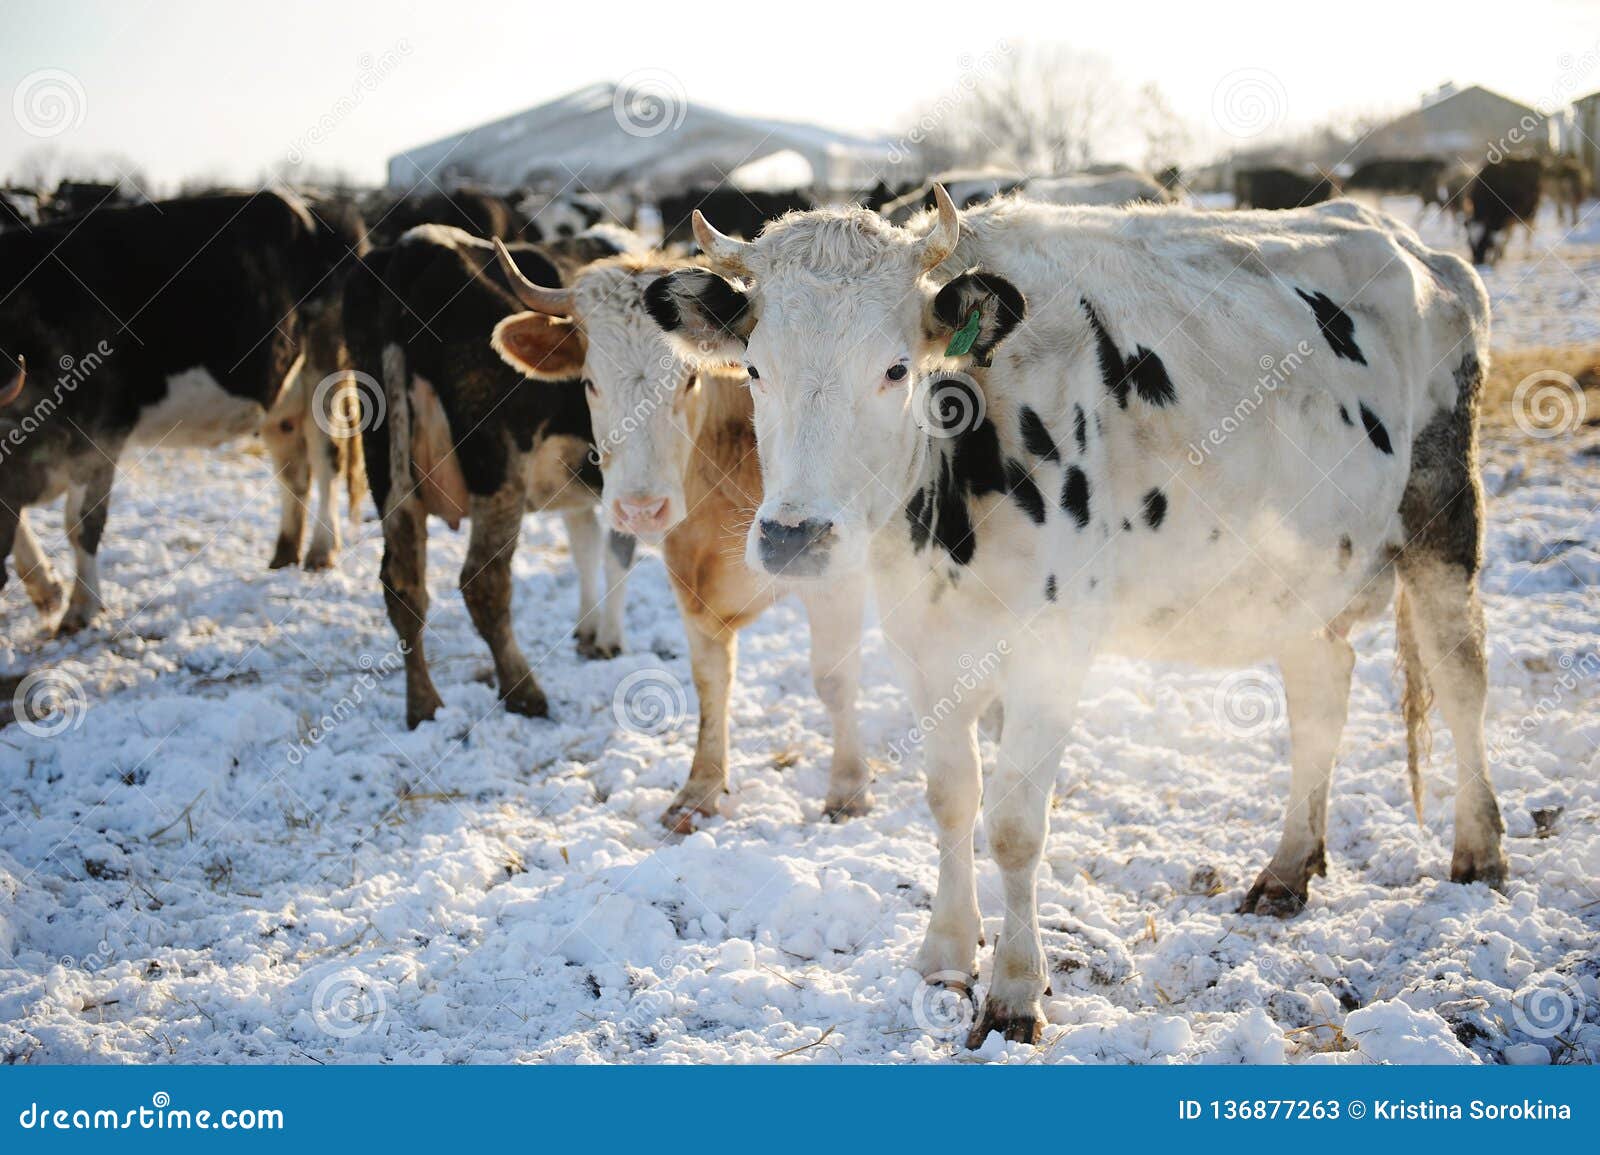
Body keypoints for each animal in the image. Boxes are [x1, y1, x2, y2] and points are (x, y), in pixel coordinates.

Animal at [0, 191, 367, 634]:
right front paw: (46, 589)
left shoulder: (103, 432)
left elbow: (81, 523)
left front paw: (80, 609)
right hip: (280, 396)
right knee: (293, 469)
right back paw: (283, 554)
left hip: (325, 369)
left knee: (327, 459)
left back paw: (321, 550)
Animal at [347, 224, 638, 728]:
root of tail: (415, 245)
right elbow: (616, 549)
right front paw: (608, 640)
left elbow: (585, 544)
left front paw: (588, 631)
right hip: (497, 463)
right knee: (483, 581)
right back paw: (524, 692)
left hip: (385, 462)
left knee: (403, 584)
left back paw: (424, 706)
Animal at [488, 242, 869, 829]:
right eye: (591, 383)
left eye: (689, 381)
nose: (642, 508)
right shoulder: (691, 583)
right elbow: (711, 681)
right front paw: (701, 788)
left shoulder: (837, 578)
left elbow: (834, 679)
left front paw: (847, 789)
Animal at [645, 188, 1506, 1048]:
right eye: (756, 368)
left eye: (895, 368)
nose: (793, 536)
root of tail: (1413, 246)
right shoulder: (922, 642)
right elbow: (951, 797)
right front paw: (945, 957)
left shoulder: (1052, 650)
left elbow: (1015, 825)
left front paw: (1014, 993)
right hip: (1300, 574)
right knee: (1321, 691)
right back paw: (1289, 868)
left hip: (1442, 514)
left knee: (1462, 674)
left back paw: (1478, 851)